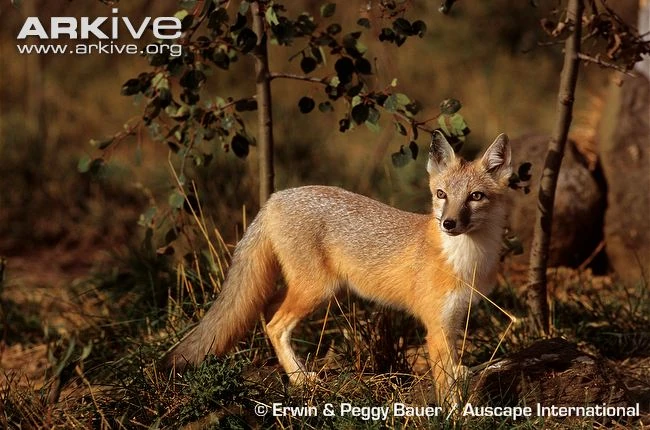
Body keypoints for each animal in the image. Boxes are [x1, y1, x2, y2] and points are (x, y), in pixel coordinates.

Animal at [163, 131, 512, 402]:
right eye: (441, 194)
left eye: (475, 196)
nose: (448, 224)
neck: (466, 260)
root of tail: (277, 197)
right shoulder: (435, 327)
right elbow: (447, 387)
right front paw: (455, 417)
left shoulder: (453, 321)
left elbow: (454, 370)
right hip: (318, 290)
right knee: (275, 324)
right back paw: (300, 379)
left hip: (311, 290)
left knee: (267, 310)